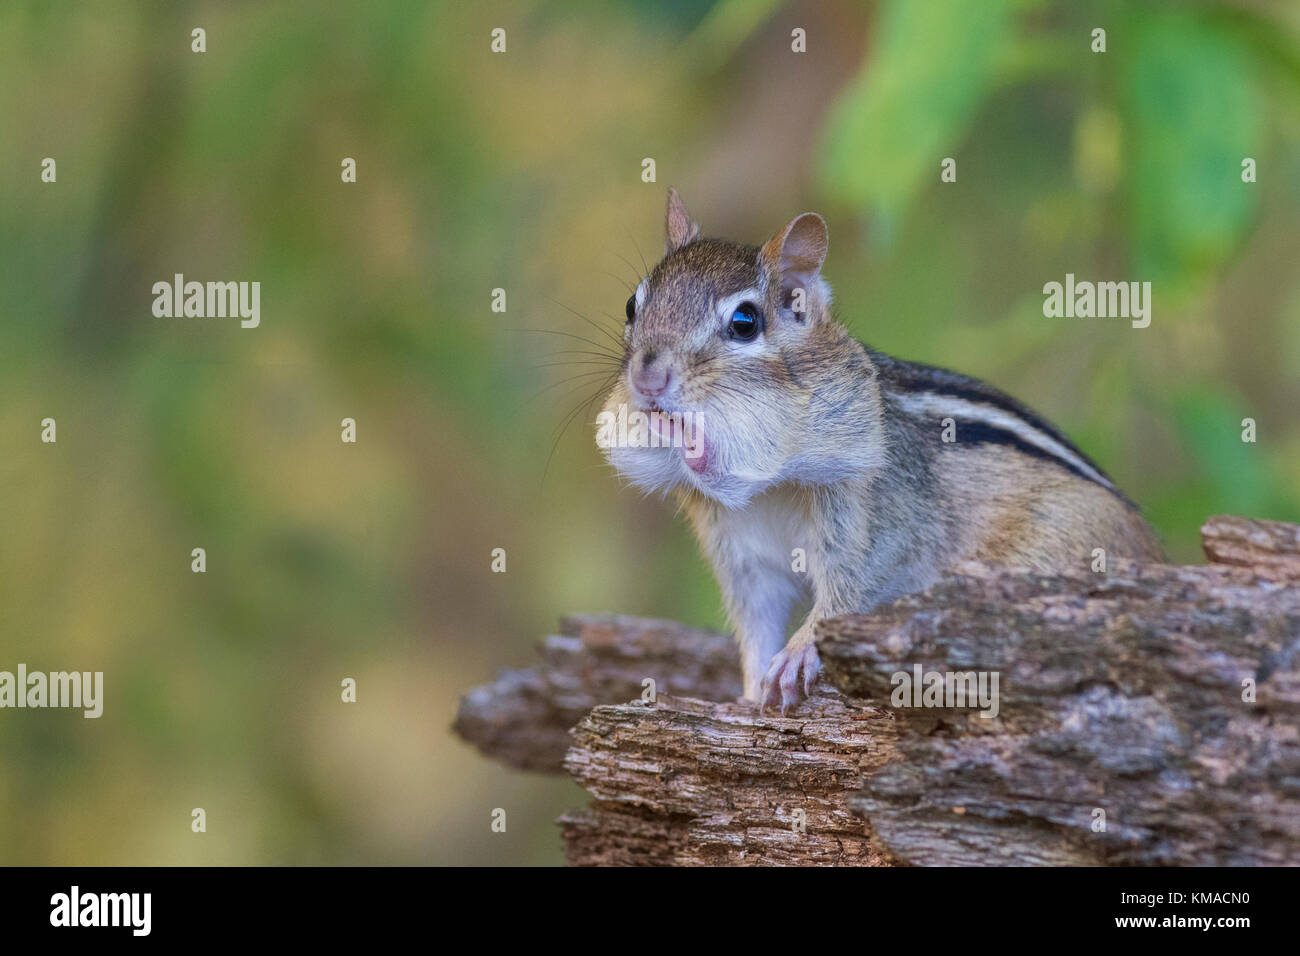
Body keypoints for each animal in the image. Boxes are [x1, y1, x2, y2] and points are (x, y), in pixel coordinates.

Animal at [598, 189, 1166, 713]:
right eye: (631, 305)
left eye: (744, 322)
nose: (648, 381)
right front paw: (750, 691)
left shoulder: (867, 508)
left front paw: (800, 651)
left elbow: (850, 588)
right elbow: (756, 622)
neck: (769, 488)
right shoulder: (740, 553)